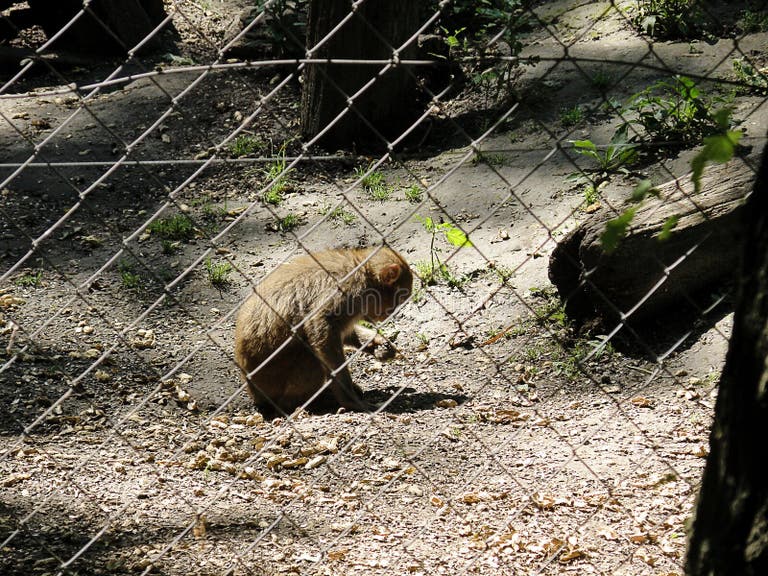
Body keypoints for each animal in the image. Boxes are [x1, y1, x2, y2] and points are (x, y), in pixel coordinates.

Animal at [234, 246, 413, 415]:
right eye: (400, 298)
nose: (392, 312)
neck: (363, 272)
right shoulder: (348, 289)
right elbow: (322, 327)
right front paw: (349, 399)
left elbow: (343, 332)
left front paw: (377, 344)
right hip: (273, 382)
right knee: (310, 356)